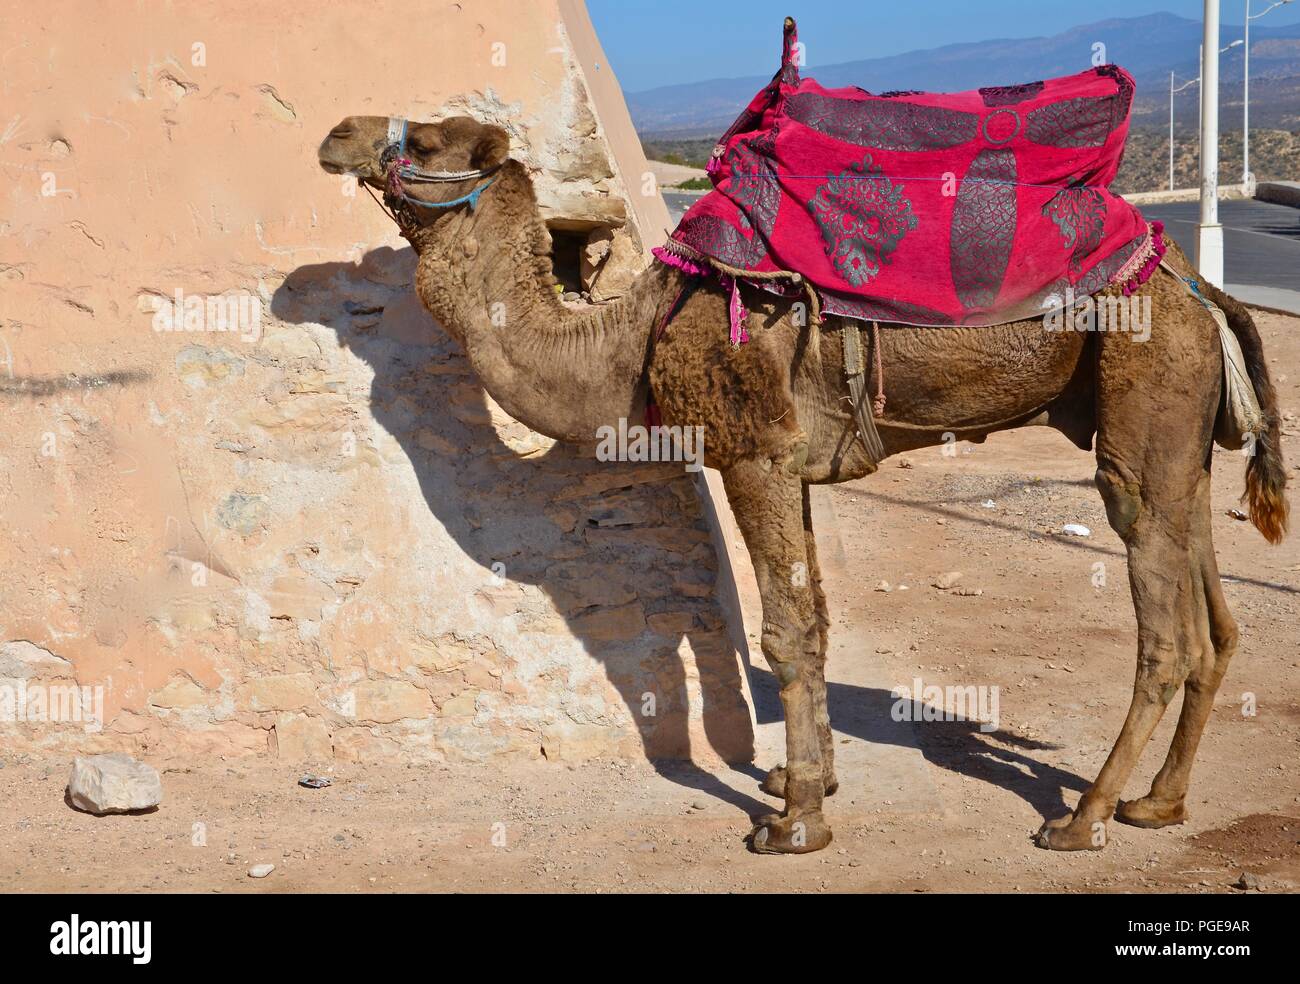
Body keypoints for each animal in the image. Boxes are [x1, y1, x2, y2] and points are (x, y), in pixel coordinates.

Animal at [318, 113, 1288, 855]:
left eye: (428, 139)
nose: (338, 135)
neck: (627, 343)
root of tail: (1199, 287)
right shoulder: (796, 463)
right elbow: (814, 614)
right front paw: (805, 779)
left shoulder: (751, 450)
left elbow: (783, 632)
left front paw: (792, 826)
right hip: (1179, 427)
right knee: (1212, 612)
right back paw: (1158, 803)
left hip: (1143, 381)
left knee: (1163, 626)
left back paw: (1082, 819)